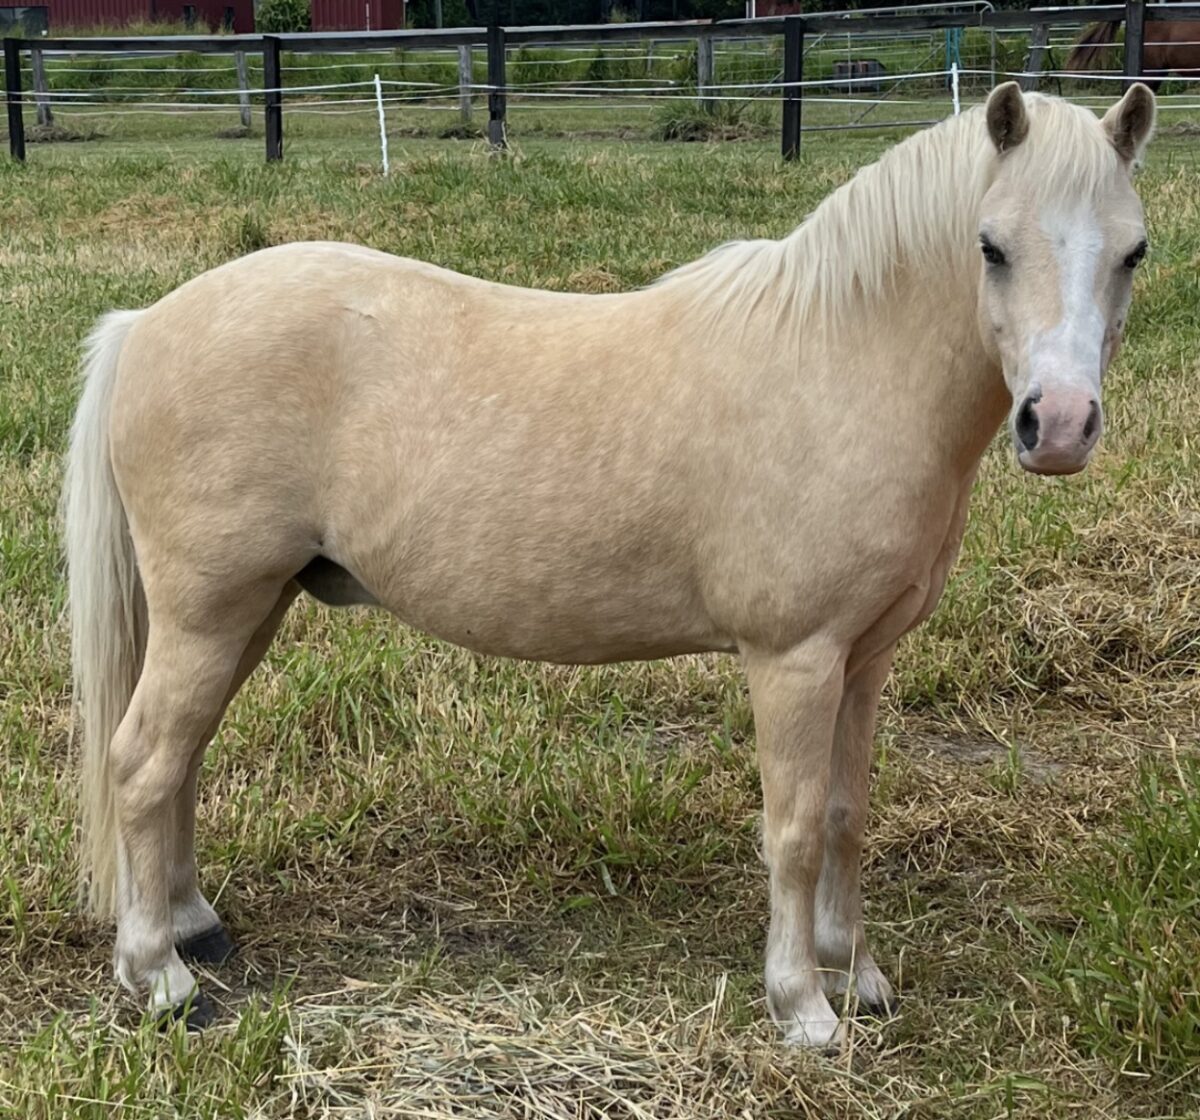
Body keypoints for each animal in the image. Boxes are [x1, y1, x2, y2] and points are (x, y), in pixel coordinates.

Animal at [63, 82, 1155, 1050]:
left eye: (1135, 251)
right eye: (991, 245)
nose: (1059, 426)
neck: (837, 363)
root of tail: (146, 323)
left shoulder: (865, 658)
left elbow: (847, 814)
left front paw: (859, 973)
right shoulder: (794, 659)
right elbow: (796, 828)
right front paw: (804, 1007)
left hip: (248, 613)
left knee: (179, 762)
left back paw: (195, 928)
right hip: (211, 613)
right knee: (144, 762)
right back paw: (160, 980)